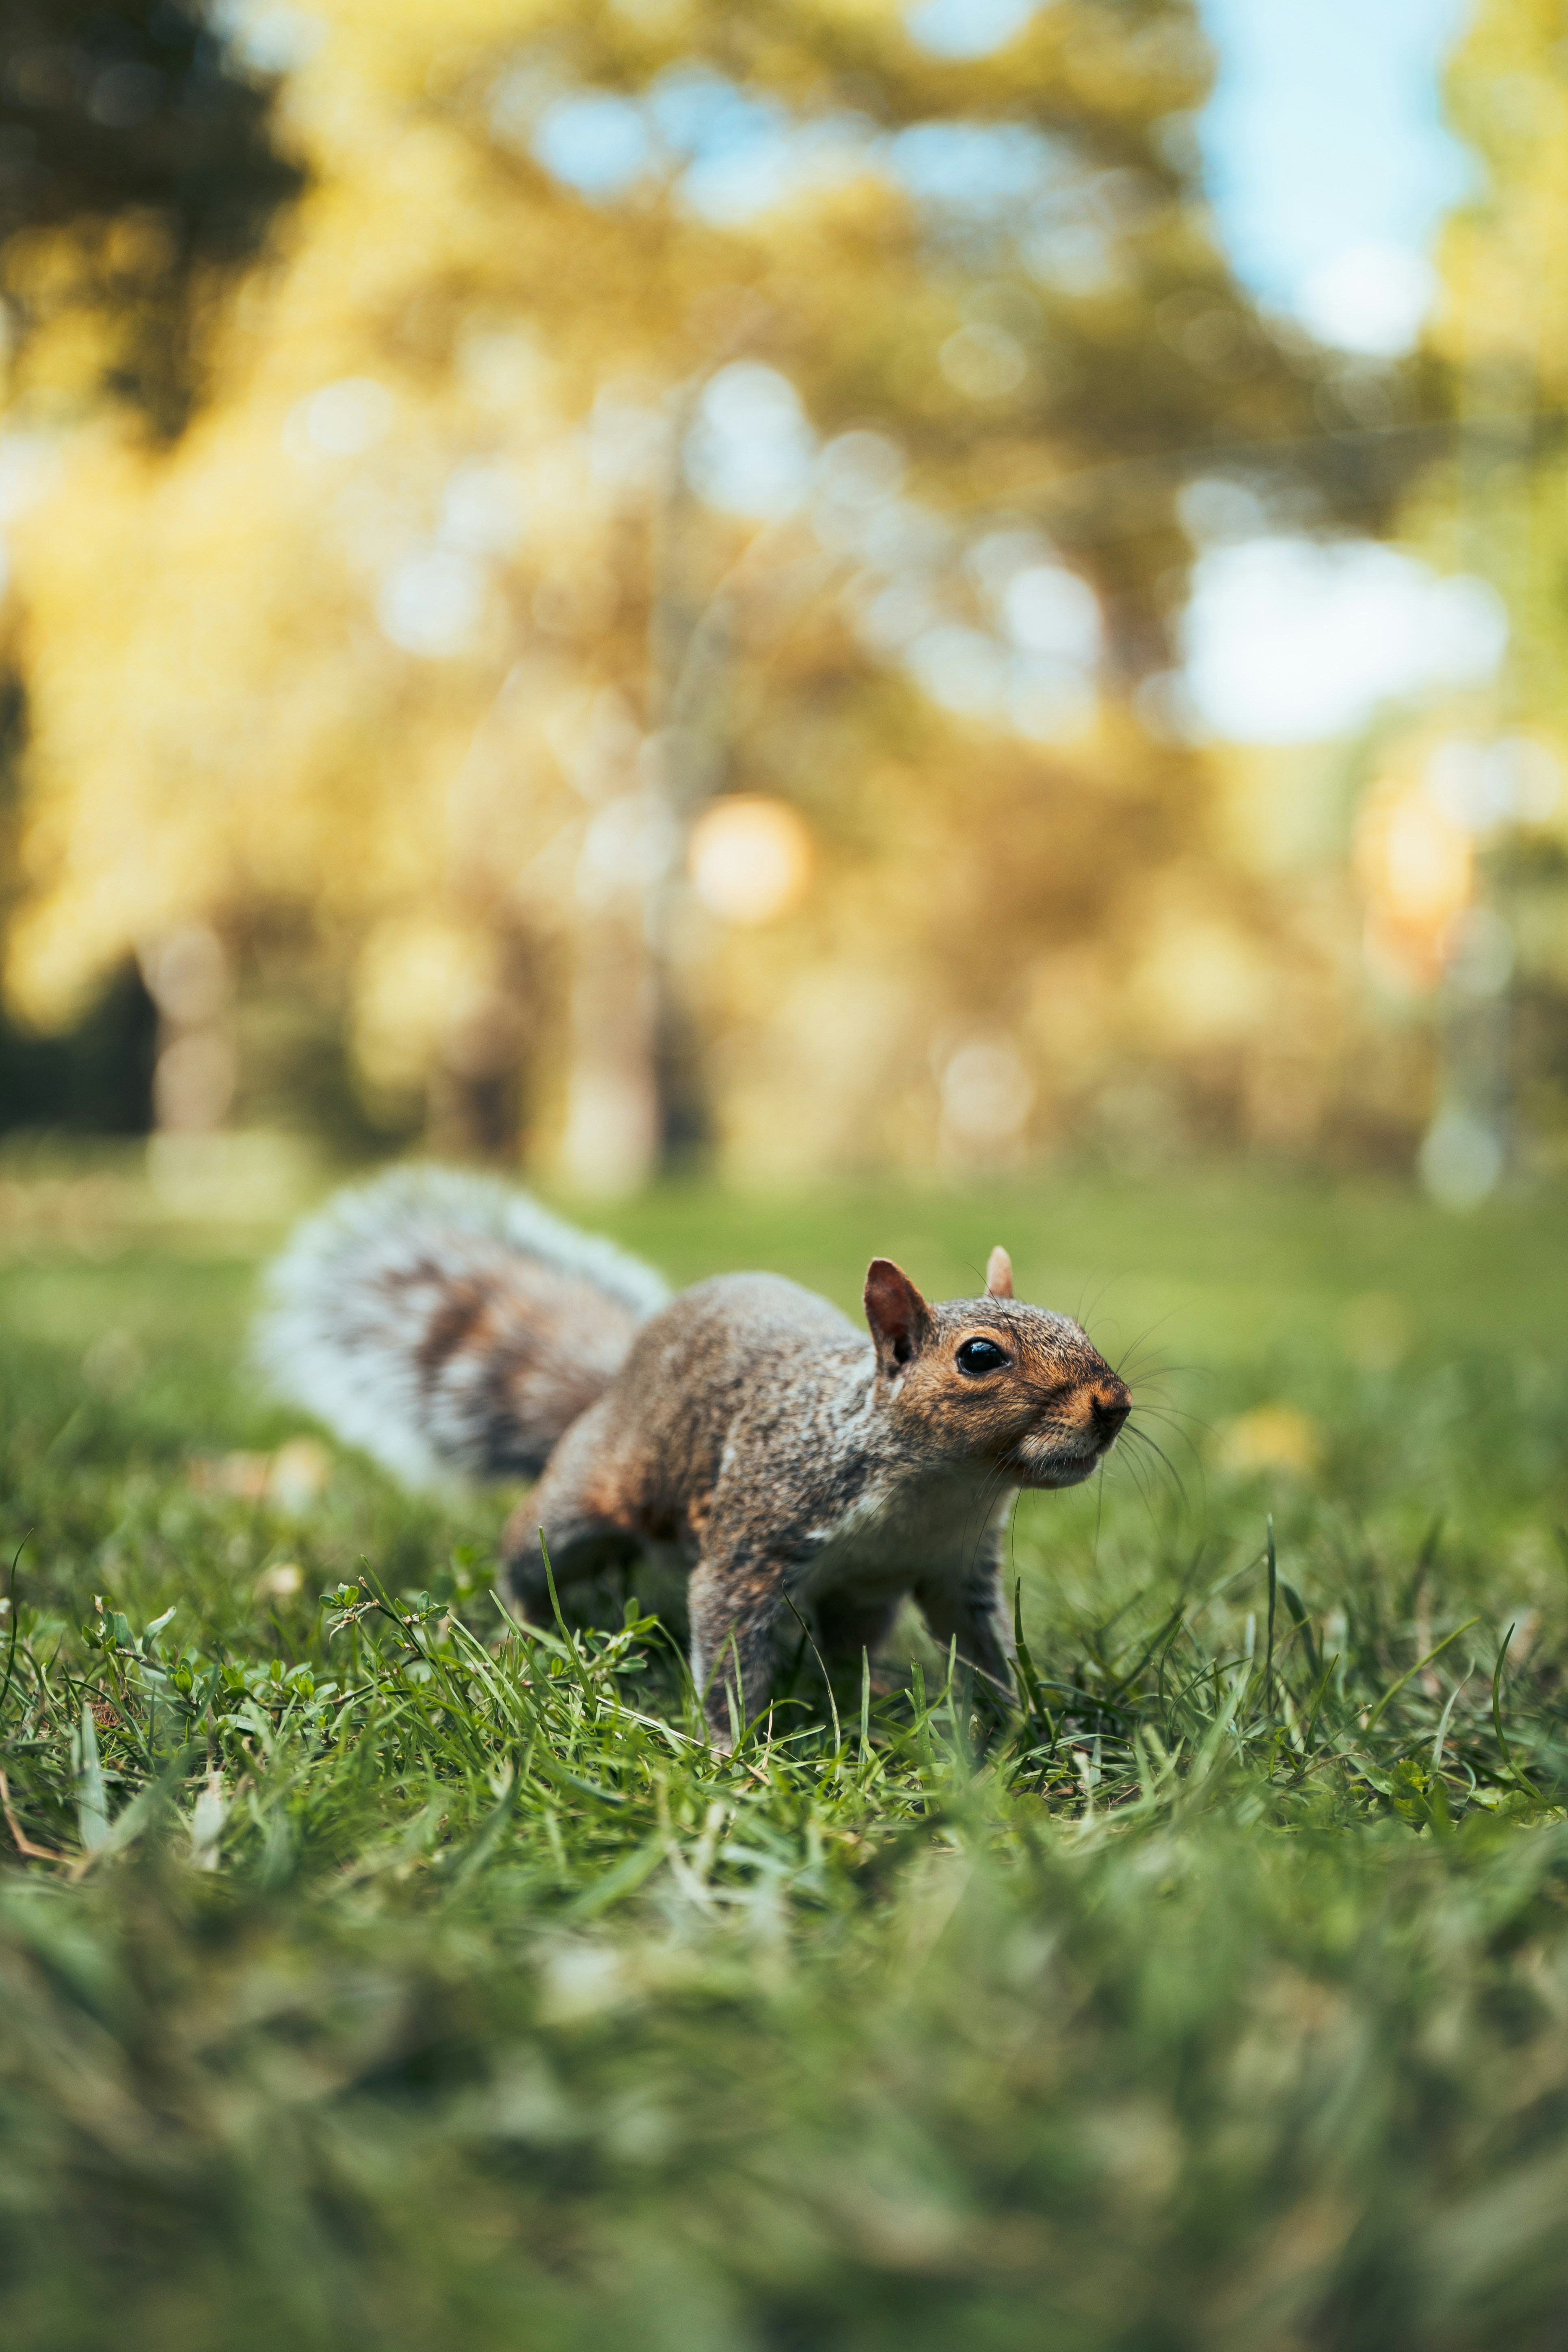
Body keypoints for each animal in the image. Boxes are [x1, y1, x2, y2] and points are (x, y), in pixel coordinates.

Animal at [260, 1166, 1131, 1747]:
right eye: (979, 1357)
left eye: (1075, 1326)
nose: (1113, 1404)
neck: (938, 1490)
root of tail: (614, 1383)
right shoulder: (758, 1536)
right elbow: (728, 1642)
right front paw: (729, 1749)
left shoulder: (955, 1570)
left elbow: (981, 1649)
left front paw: (1017, 1724)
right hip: (580, 1510)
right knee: (529, 1557)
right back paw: (518, 1633)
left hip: (860, 1600)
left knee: (847, 1647)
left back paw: (866, 1690)